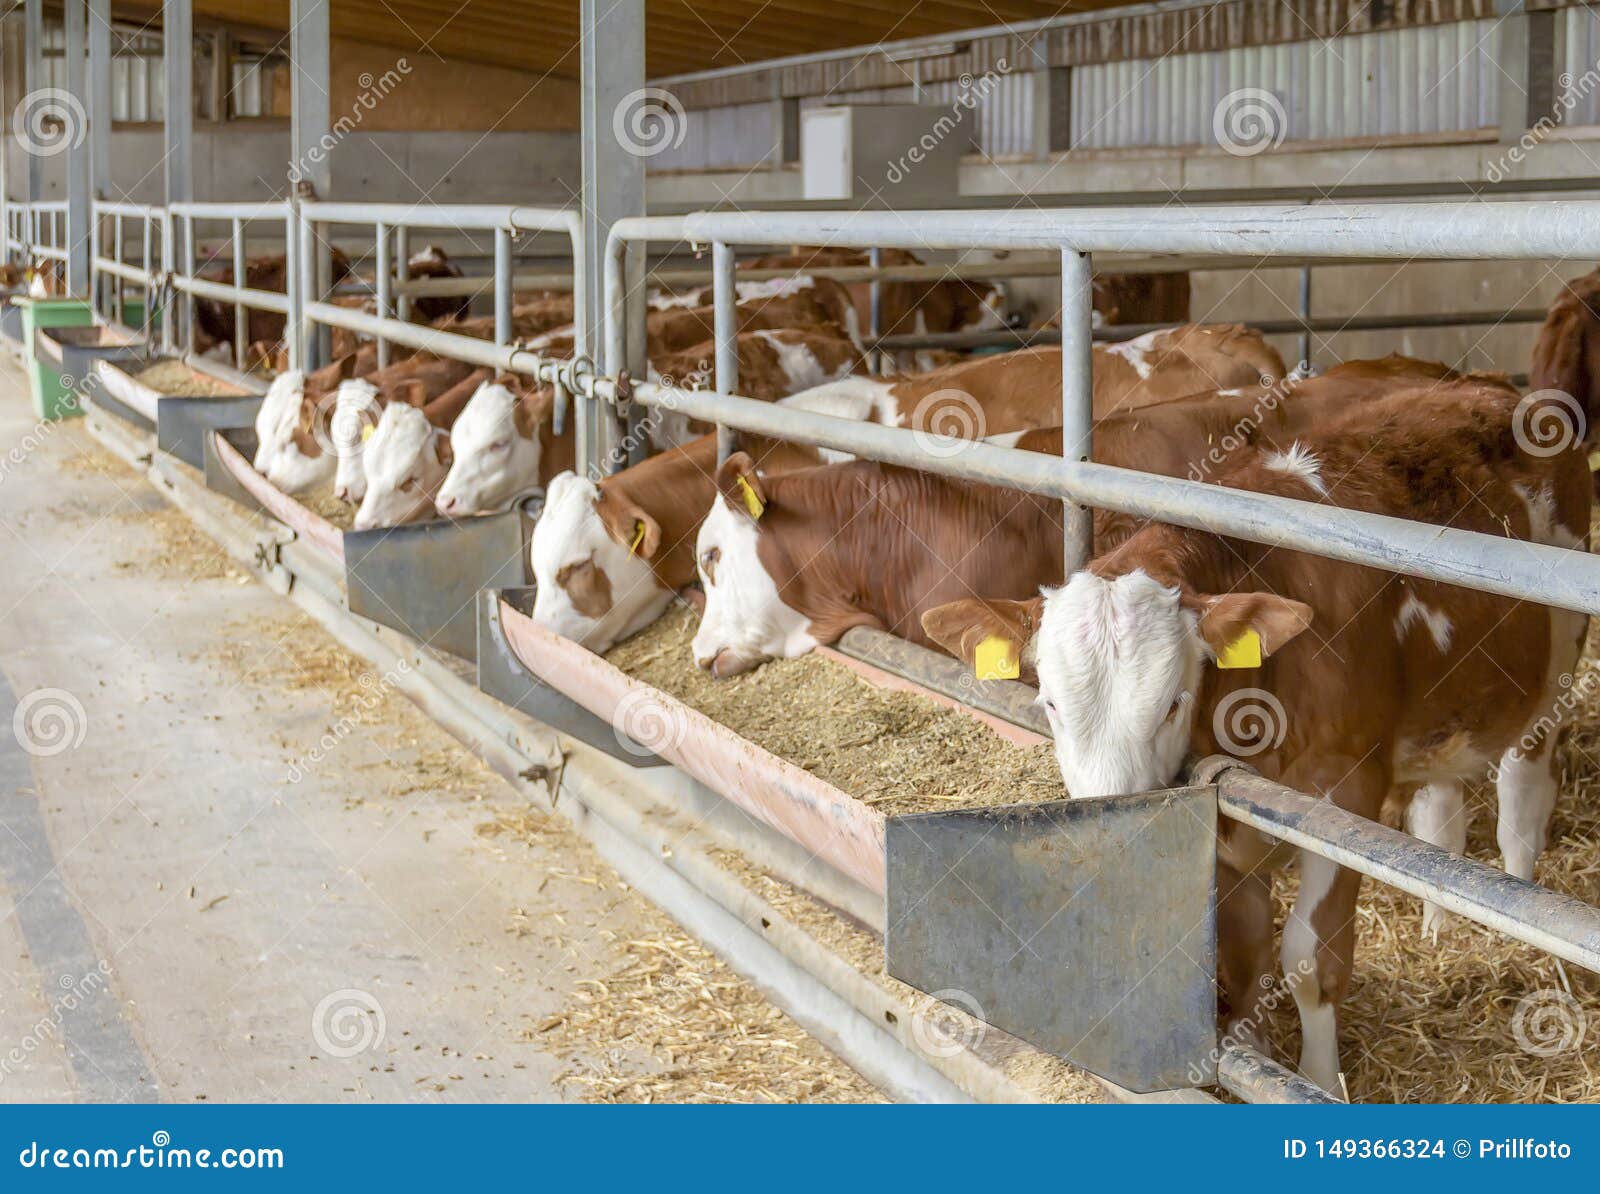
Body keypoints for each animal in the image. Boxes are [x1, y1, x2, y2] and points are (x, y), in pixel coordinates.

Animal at [918, 380, 1589, 1094]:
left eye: (1172, 704)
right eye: (1049, 703)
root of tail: (1494, 390)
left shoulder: (1344, 792)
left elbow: (1310, 959)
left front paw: (1317, 1080)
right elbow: (1243, 955)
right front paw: (1250, 1054)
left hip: (1556, 670)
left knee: (1523, 798)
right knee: (1439, 811)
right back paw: (1438, 927)